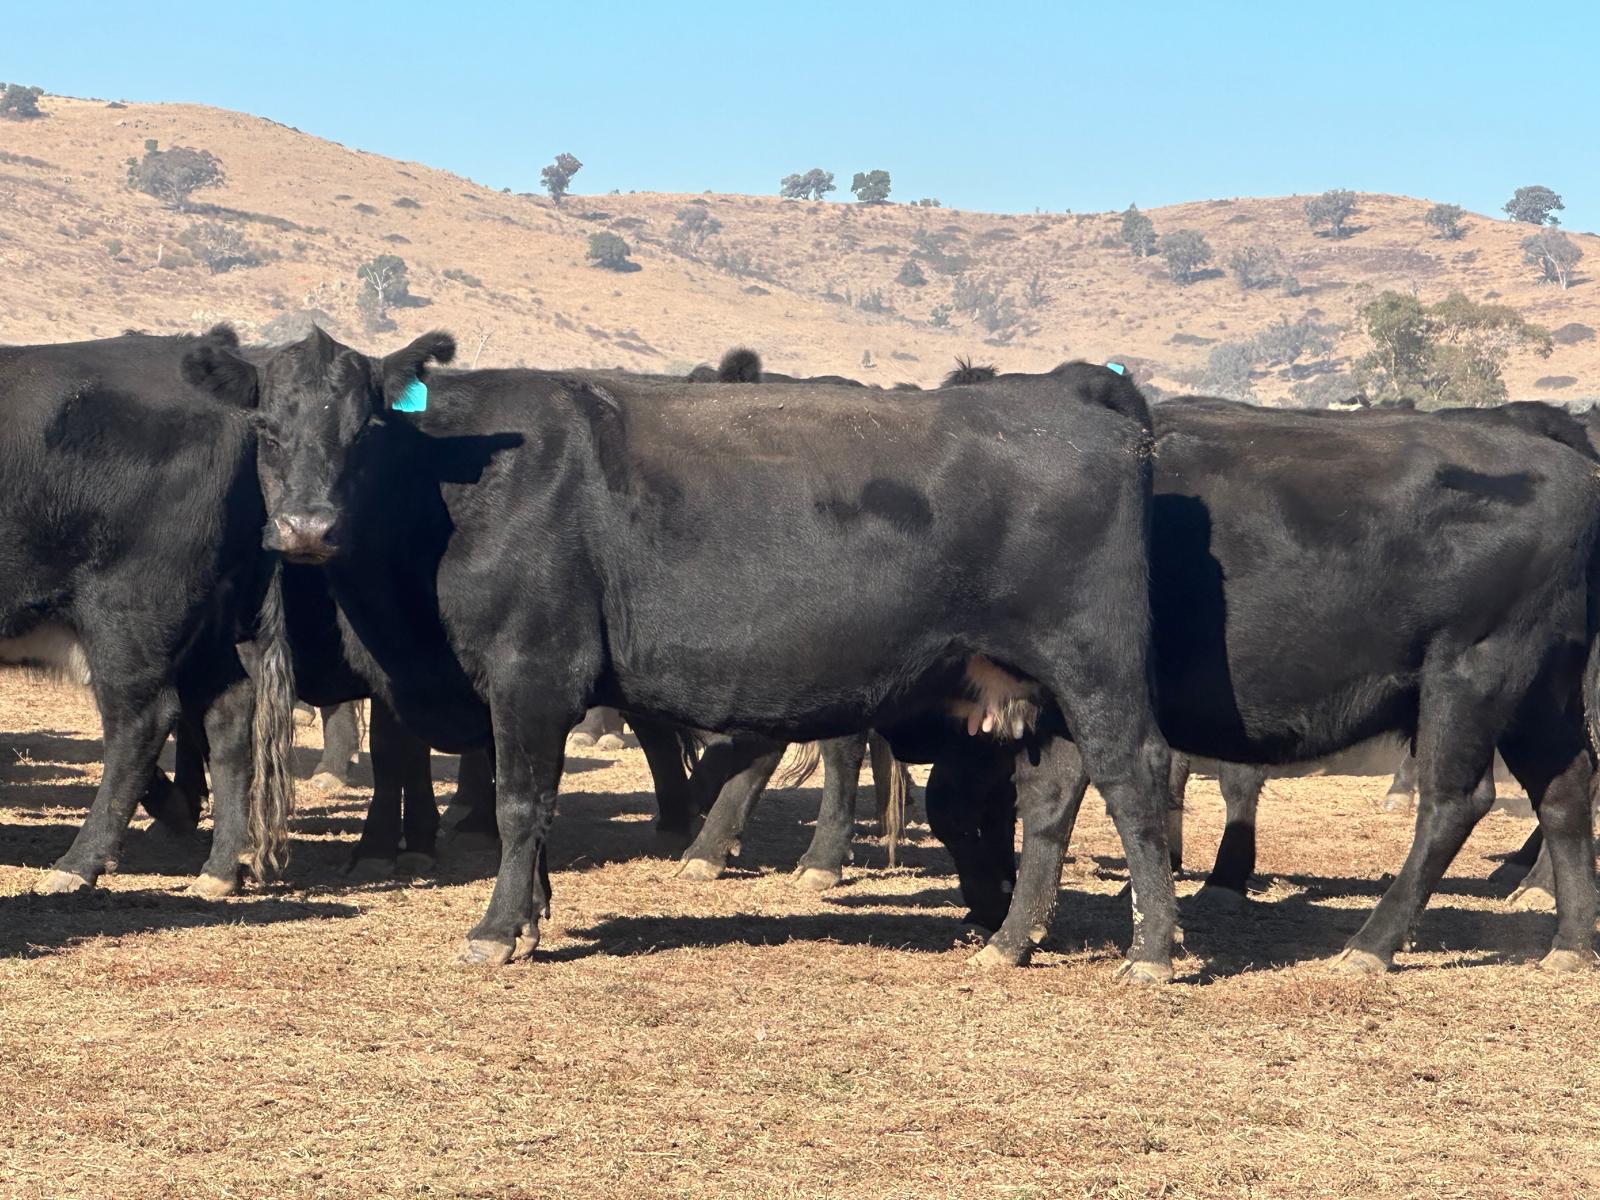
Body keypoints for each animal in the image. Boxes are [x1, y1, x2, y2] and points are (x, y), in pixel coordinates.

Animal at [0, 329, 294, 896]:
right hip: (209, 622)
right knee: (227, 713)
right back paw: (218, 870)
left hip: (130, 613)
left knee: (141, 721)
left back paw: (79, 863)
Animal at [182, 328, 1180, 981]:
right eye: (266, 430)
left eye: (364, 431)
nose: (306, 529)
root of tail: (1069, 399)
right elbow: (529, 808)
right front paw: (533, 916)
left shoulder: (529, 672)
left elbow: (517, 804)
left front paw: (498, 929)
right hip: (1032, 688)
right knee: (1053, 794)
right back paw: (1011, 940)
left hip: (1096, 668)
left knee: (1135, 778)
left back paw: (1154, 950)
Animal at [926, 386, 1600, 974]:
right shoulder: (1064, 703)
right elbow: (1048, 807)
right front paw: (1013, 938)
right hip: (1541, 695)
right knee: (1566, 787)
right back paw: (1570, 942)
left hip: (1471, 676)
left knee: (1455, 801)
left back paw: (1371, 945)